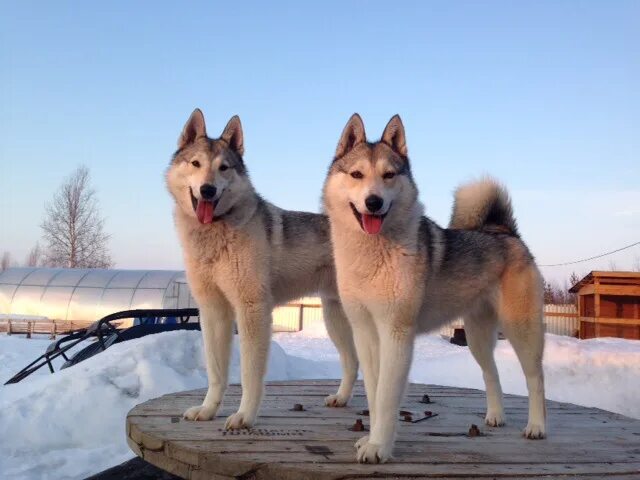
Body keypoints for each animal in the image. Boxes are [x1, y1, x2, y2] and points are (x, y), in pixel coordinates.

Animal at [168, 110, 360, 430]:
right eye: (196, 164)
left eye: (224, 168)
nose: (207, 189)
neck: (216, 233)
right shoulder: (213, 312)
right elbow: (216, 373)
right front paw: (207, 410)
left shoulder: (252, 310)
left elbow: (249, 374)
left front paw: (244, 416)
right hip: (335, 319)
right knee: (353, 362)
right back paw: (341, 399)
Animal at [324, 114, 544, 464]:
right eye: (357, 174)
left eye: (389, 175)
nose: (374, 202)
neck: (372, 254)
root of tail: (505, 232)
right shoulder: (366, 334)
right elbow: (373, 393)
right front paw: (372, 440)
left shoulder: (396, 334)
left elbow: (386, 398)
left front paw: (379, 447)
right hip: (477, 337)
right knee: (492, 373)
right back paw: (495, 416)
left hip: (522, 330)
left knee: (535, 379)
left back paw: (536, 426)